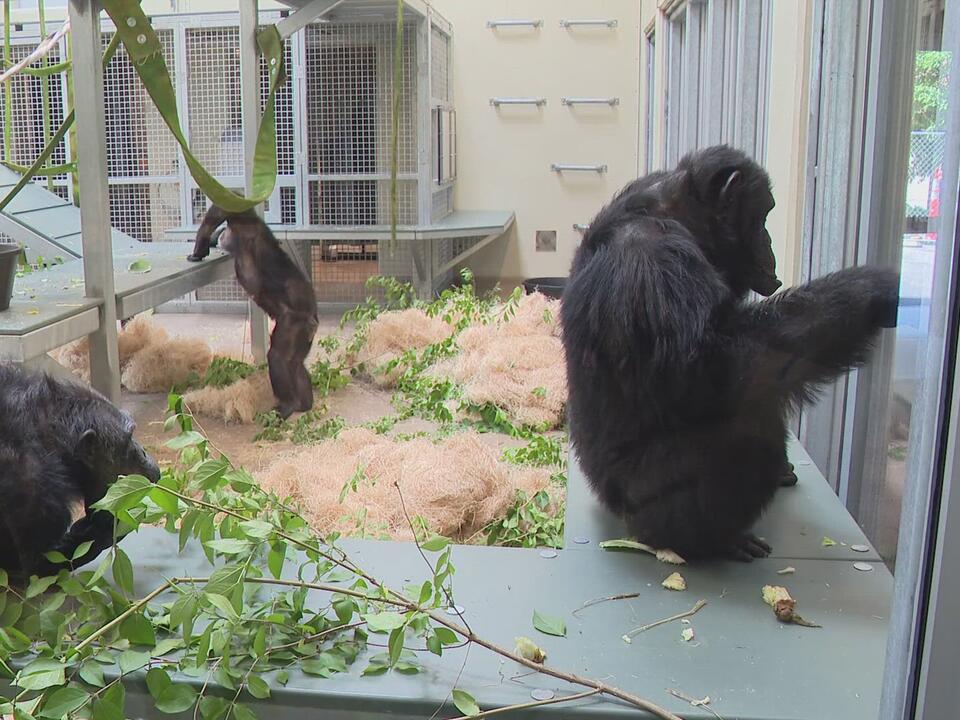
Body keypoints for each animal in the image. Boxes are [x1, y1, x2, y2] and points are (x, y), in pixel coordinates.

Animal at [187, 204, 318, 419]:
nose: (220, 237)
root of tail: (313, 321)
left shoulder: (246, 226)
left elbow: (223, 211)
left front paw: (200, 248)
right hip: (304, 336)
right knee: (295, 363)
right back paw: (305, 404)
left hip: (294, 324)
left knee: (278, 358)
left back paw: (288, 405)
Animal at [561, 145, 900, 562]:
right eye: (762, 215)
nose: (768, 240)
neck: (674, 214)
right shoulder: (650, 261)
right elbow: (713, 368)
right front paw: (869, 290)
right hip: (647, 501)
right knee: (749, 423)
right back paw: (712, 541)